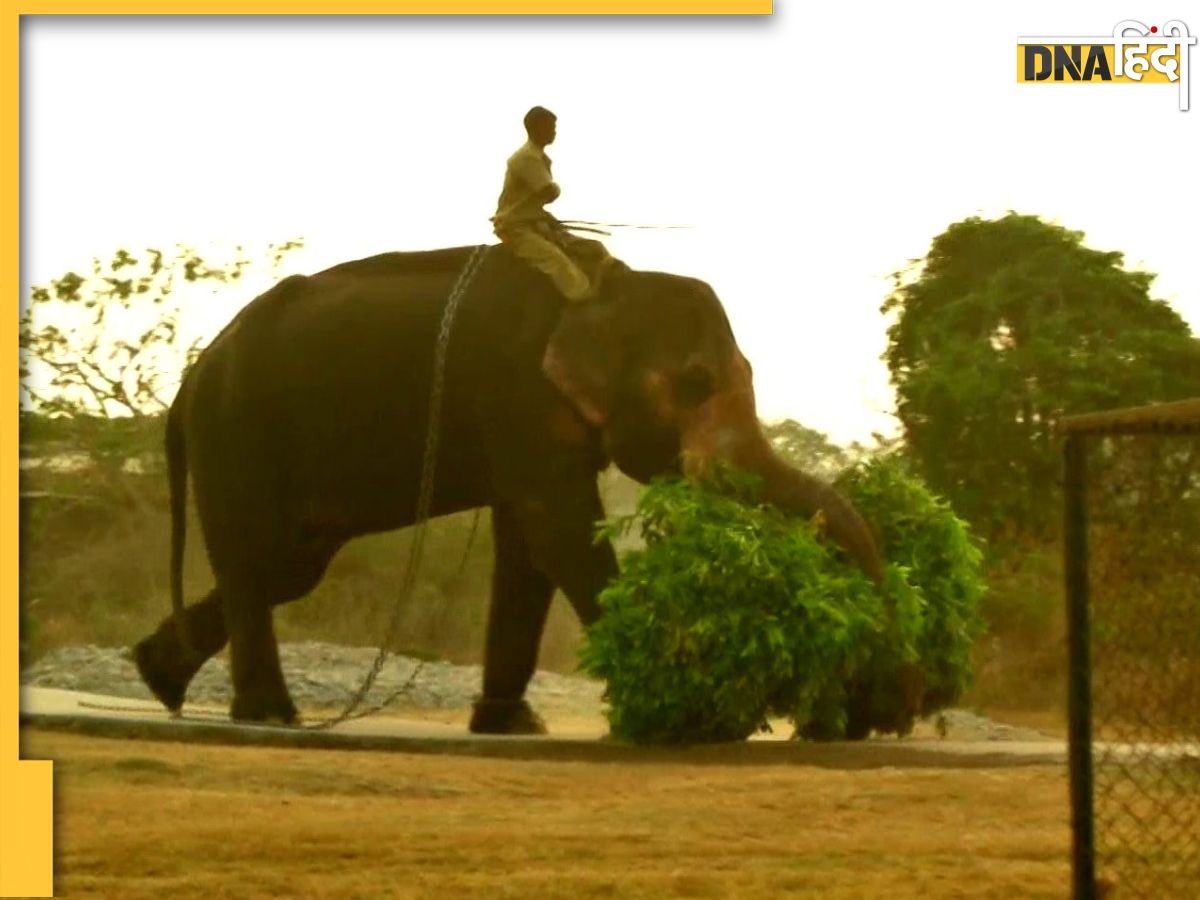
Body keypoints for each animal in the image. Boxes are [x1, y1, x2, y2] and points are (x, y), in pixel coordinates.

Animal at [133, 244, 884, 733]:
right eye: (698, 382)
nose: (871, 712)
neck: (604, 286)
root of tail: (189, 382)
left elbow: (529, 550)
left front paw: (512, 725)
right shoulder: (516, 389)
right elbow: (561, 532)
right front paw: (683, 716)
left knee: (287, 566)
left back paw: (158, 676)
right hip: (235, 431)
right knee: (256, 558)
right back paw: (268, 715)